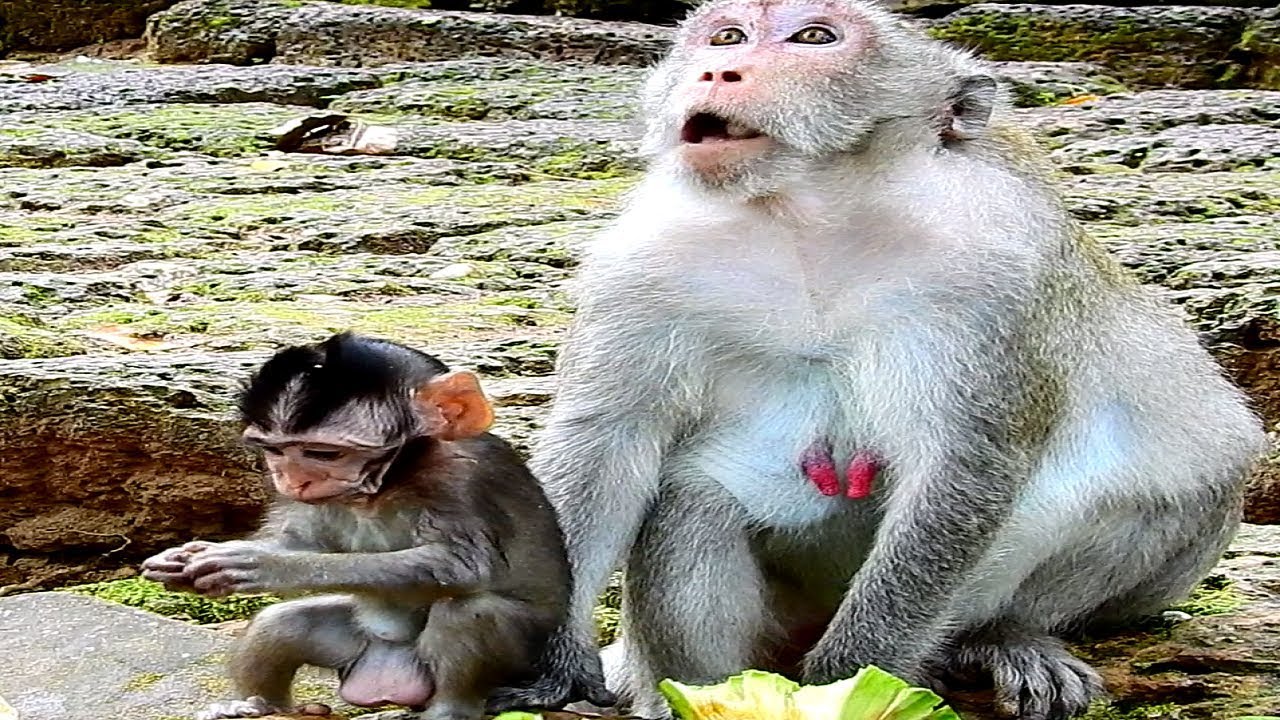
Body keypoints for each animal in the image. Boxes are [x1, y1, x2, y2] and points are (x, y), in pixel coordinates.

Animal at [141, 332, 570, 720]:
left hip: (520, 659)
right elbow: (299, 542)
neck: (386, 486)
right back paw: (257, 705)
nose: (292, 480)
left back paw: (450, 710)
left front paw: (261, 566)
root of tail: (388, 678)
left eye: (323, 453)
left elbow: (461, 566)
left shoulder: (462, 479)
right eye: (274, 450)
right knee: (279, 624)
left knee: (470, 612)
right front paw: (184, 558)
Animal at [484, 2, 1268, 720]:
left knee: (1183, 479)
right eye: (727, 36)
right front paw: (552, 661)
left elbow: (964, 466)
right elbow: (607, 445)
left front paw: (849, 681)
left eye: (815, 38)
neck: (806, 216)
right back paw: (691, 691)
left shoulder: (999, 274)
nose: (718, 69)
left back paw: (1001, 637)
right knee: (691, 504)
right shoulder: (641, 266)